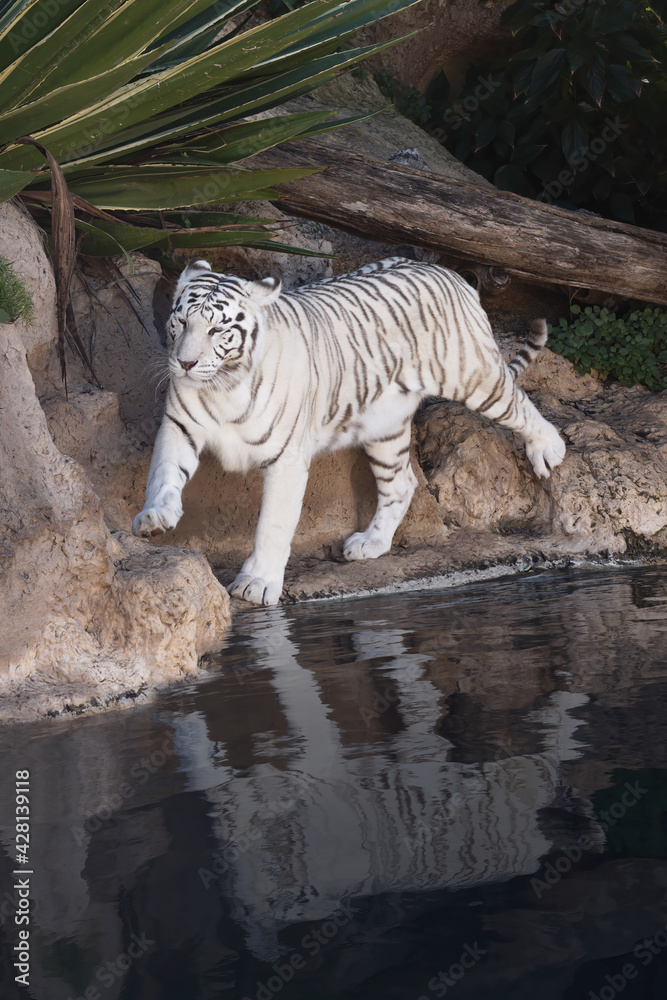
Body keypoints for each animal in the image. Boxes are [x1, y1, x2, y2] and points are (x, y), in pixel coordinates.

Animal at [132, 257, 565, 606]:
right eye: (181, 322)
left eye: (218, 331)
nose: (185, 363)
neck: (223, 387)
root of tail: (447, 271)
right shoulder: (180, 426)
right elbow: (164, 474)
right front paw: (155, 517)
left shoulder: (288, 459)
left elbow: (273, 525)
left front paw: (256, 584)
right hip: (384, 426)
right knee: (402, 482)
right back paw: (371, 544)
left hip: (473, 375)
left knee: (519, 404)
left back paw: (550, 450)